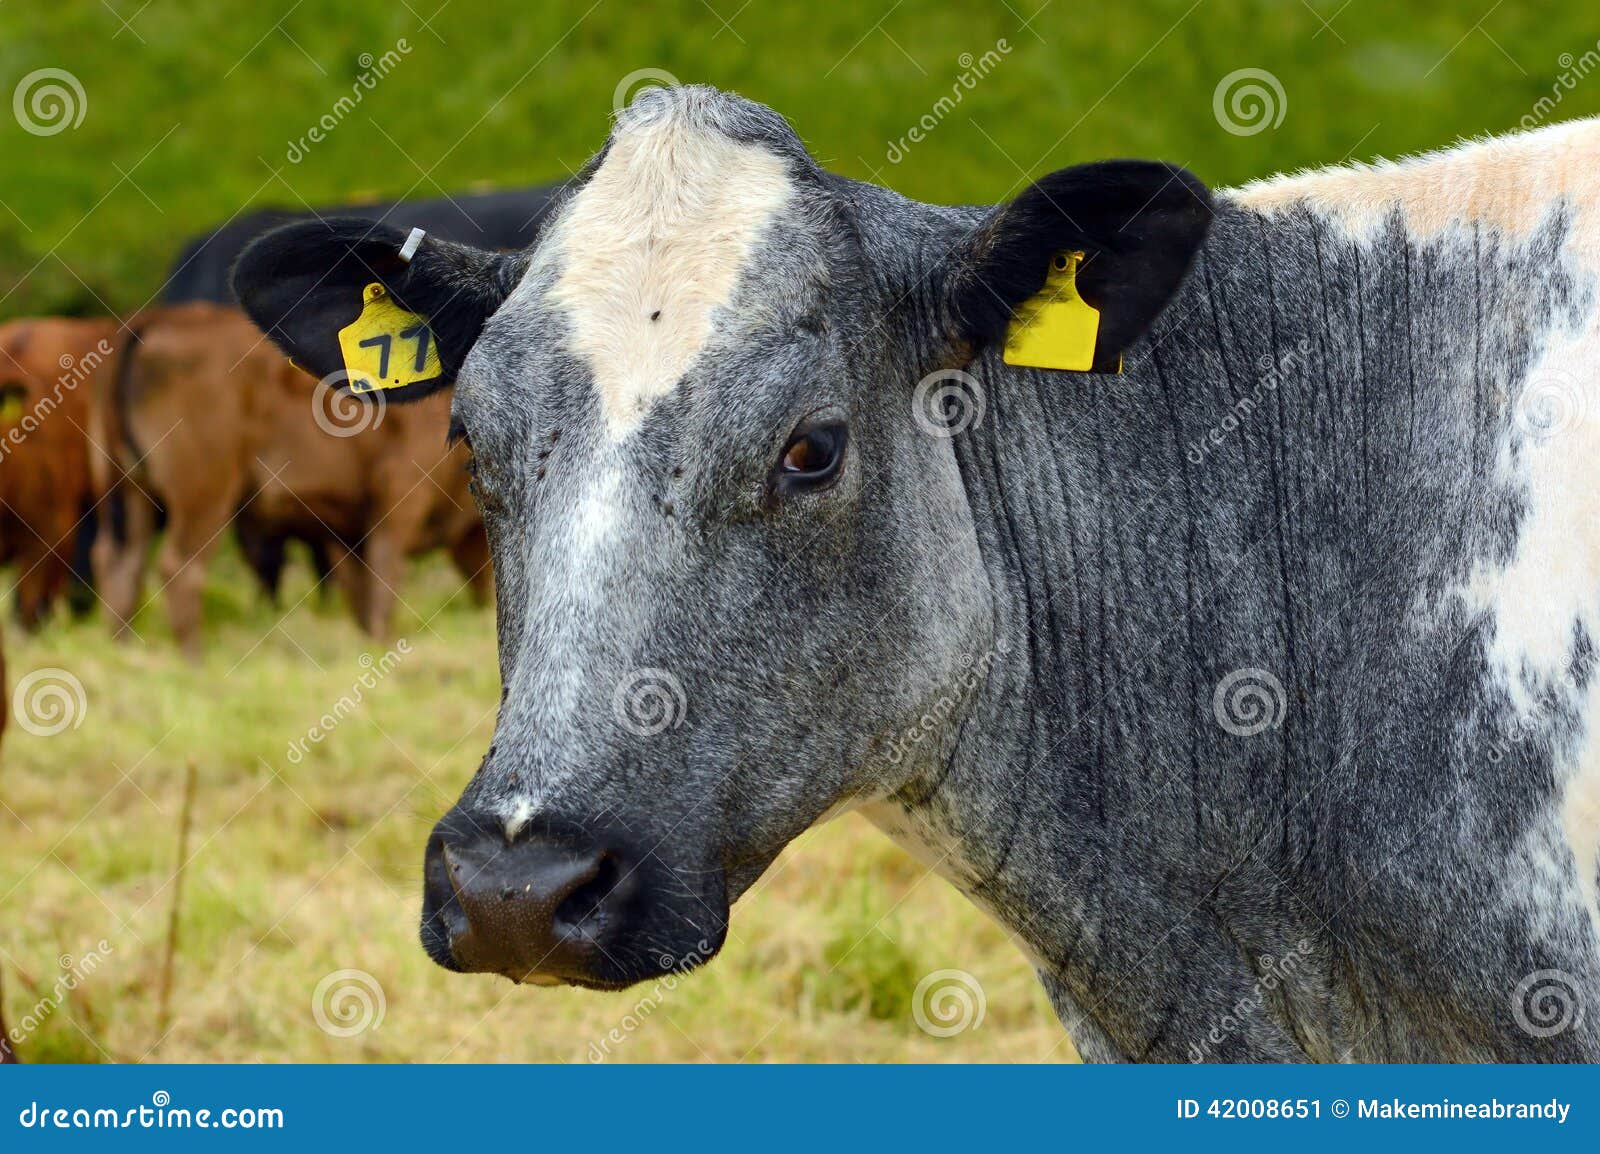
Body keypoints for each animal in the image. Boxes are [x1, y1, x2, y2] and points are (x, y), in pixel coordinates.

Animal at [95, 303, 486, 657]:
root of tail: (157, 318)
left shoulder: (348, 527)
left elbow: (360, 588)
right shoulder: (398, 499)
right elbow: (385, 577)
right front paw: (383, 644)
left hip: (131, 494)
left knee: (121, 565)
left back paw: (123, 651)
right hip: (205, 496)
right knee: (180, 567)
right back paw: (195, 658)